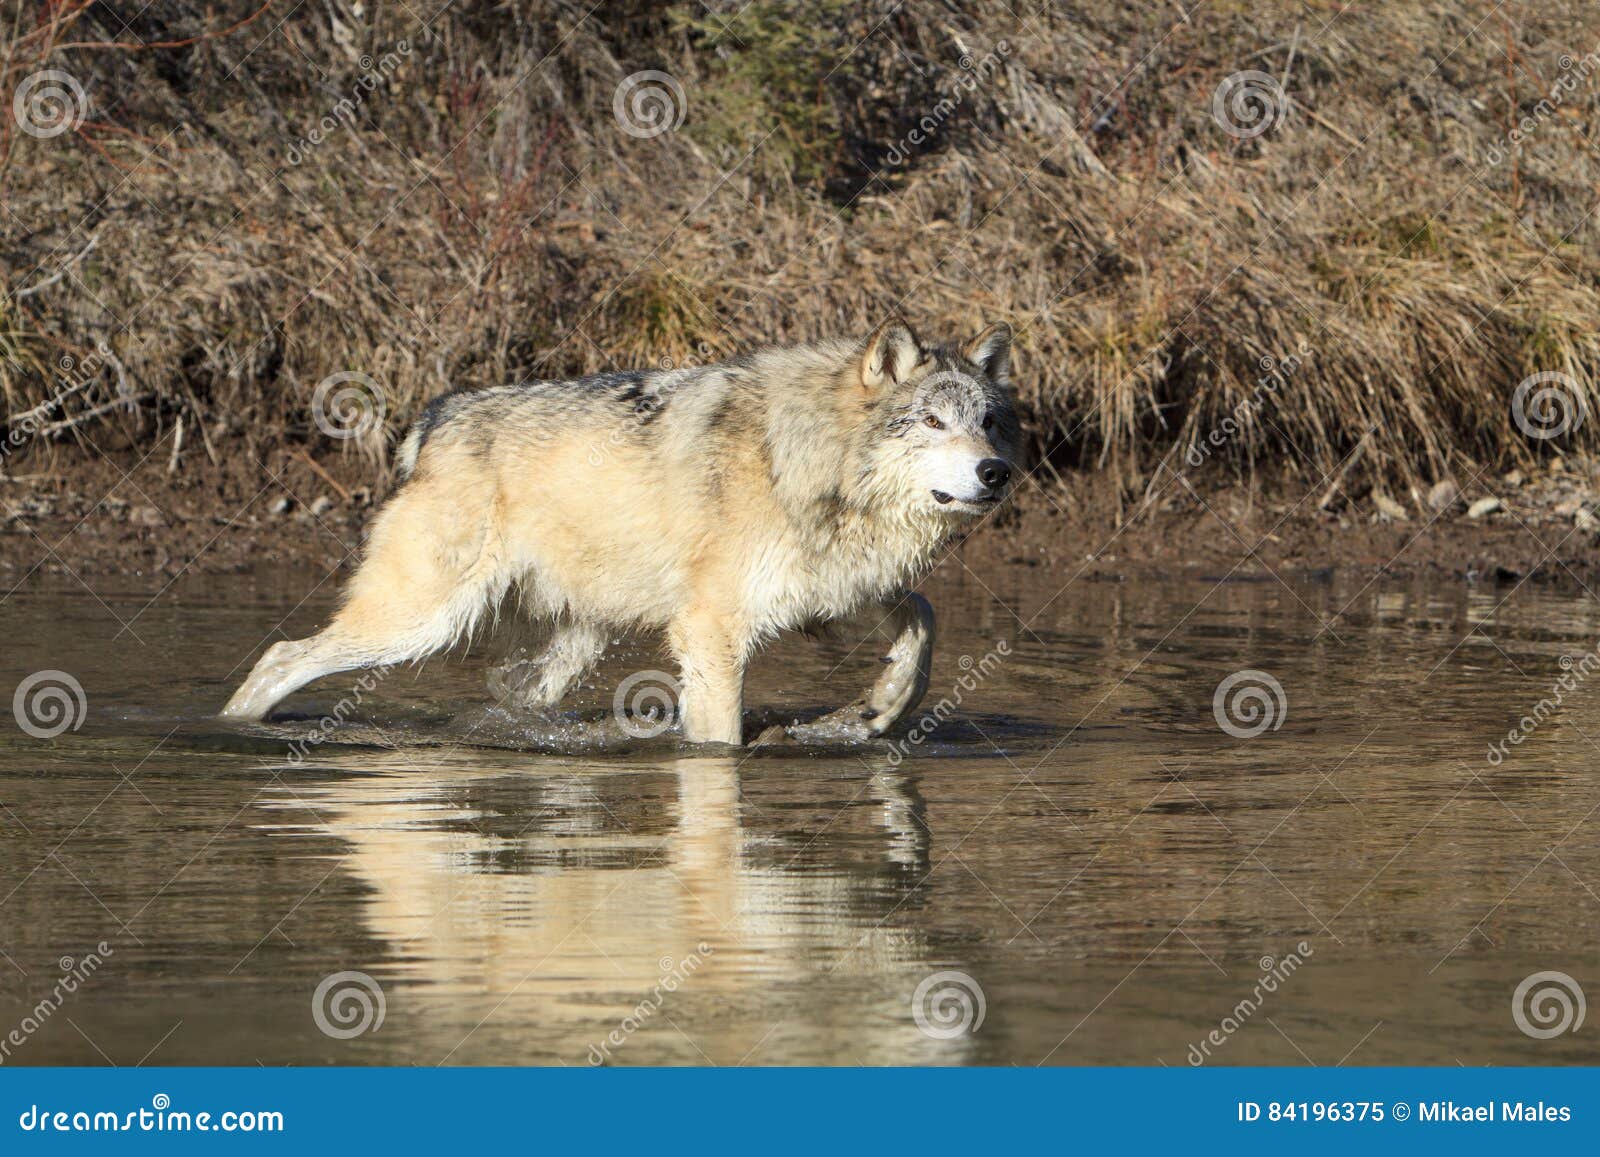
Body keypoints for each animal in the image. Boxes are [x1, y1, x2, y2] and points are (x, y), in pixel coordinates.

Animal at [221, 318, 1018, 745]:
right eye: (933, 421)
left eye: (987, 420)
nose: (995, 473)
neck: (806, 457)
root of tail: (437, 415)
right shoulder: (710, 629)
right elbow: (720, 742)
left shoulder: (831, 595)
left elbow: (923, 618)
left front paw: (884, 703)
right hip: (418, 623)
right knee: (280, 656)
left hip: (571, 643)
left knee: (519, 697)